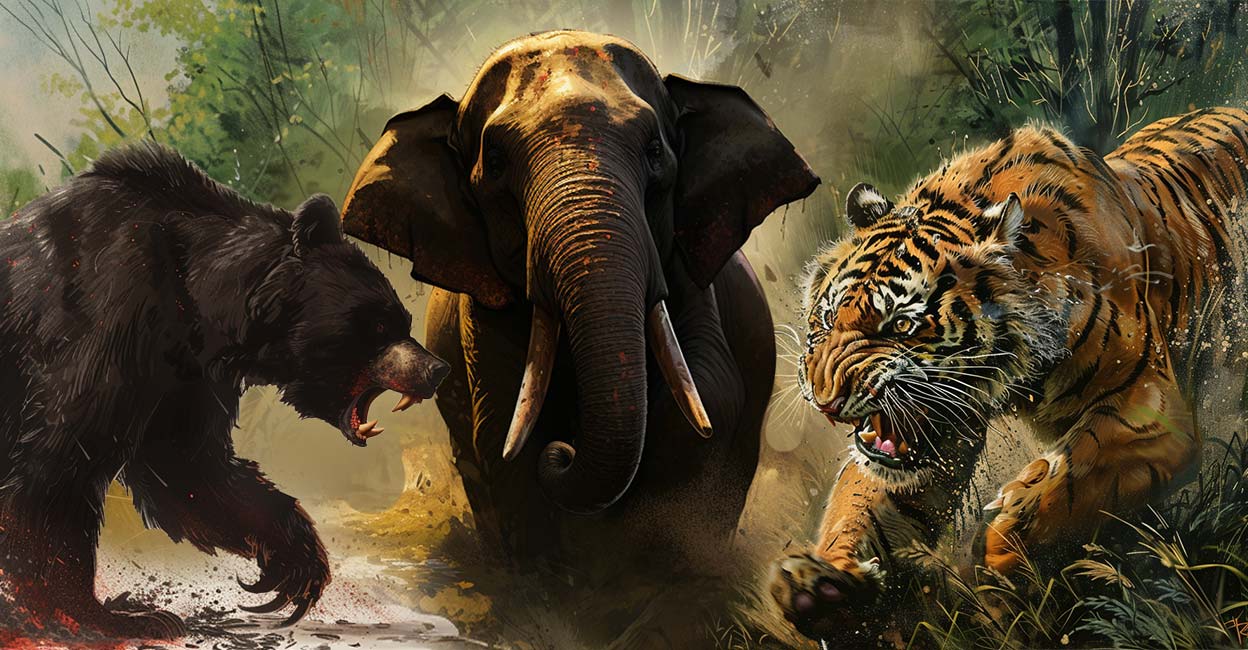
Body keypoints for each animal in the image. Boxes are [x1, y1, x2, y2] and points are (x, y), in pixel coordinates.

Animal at [0, 142, 449, 640]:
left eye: (403, 320)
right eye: (379, 324)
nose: (437, 369)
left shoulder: (186, 376)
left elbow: (189, 467)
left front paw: (295, 564)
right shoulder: (107, 322)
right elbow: (64, 457)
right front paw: (103, 614)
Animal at [341, 30, 818, 565]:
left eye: (655, 150)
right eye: (496, 163)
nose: (564, 452)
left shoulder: (691, 279)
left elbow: (710, 392)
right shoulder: (483, 310)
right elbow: (502, 420)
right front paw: (550, 575)